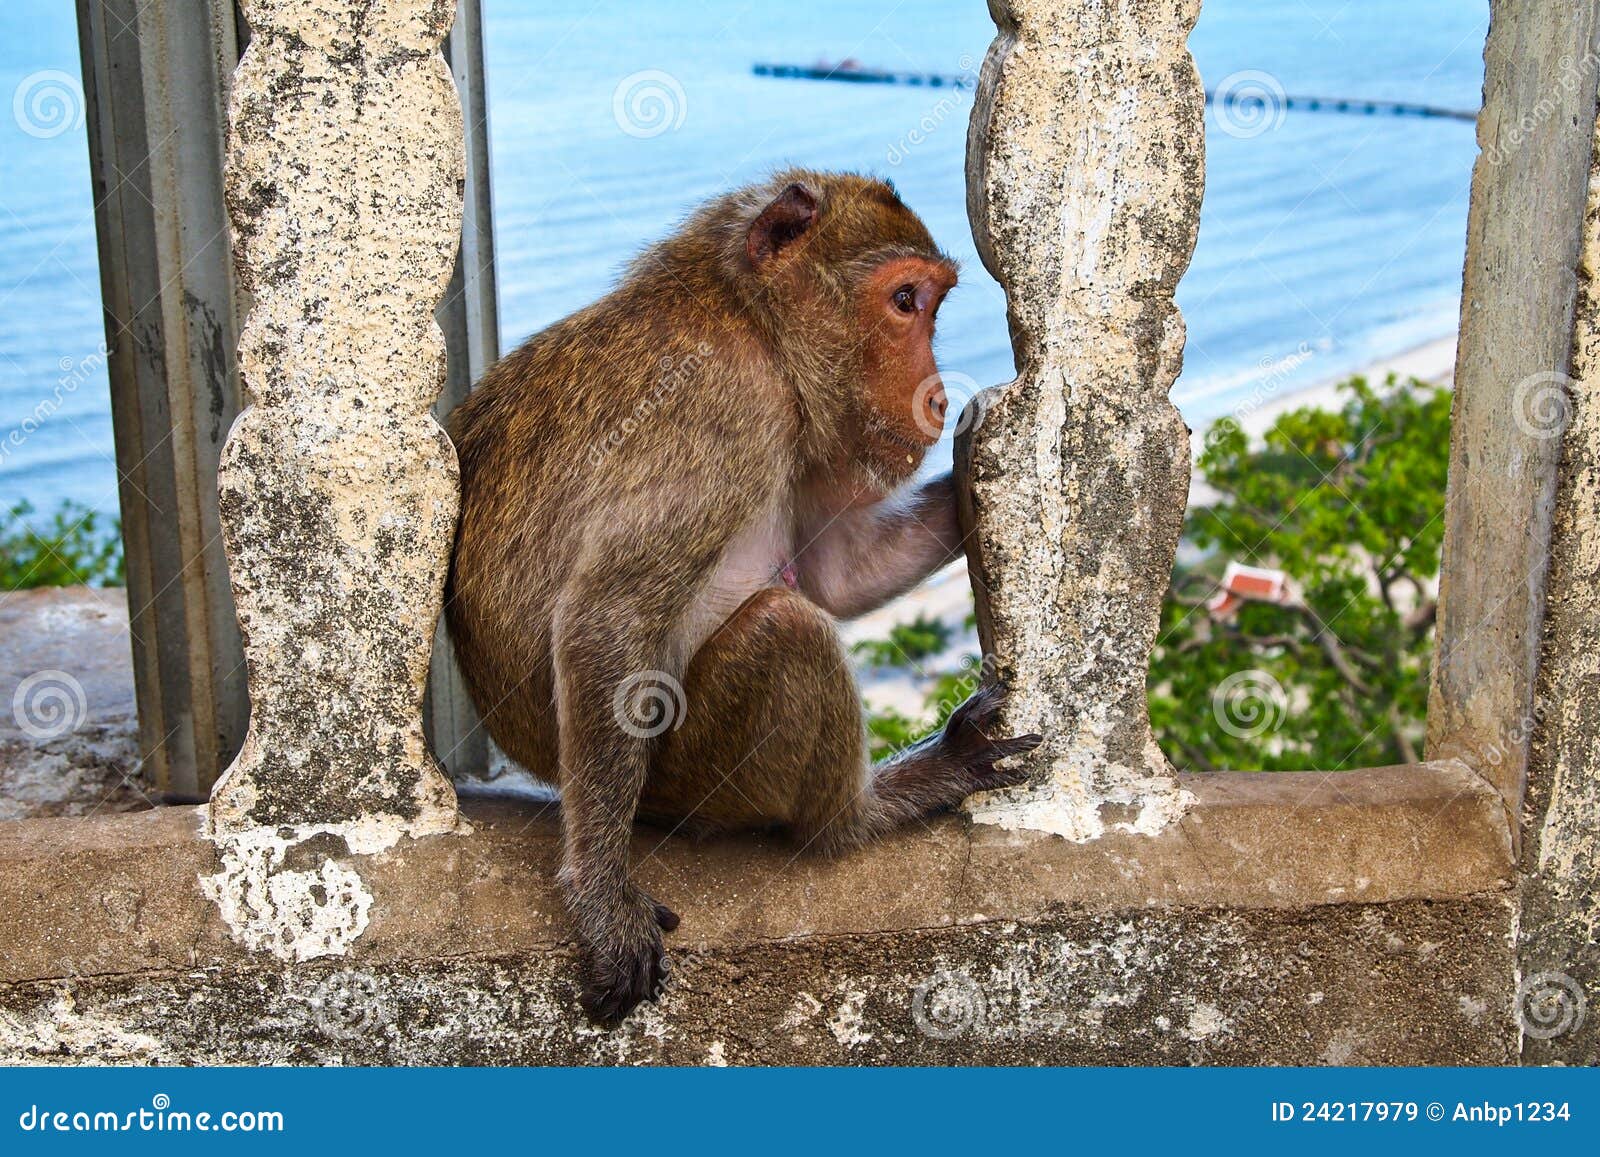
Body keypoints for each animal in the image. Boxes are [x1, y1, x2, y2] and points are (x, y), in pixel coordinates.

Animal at [446, 170, 1042, 1025]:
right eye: (904, 302)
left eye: (931, 304)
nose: (933, 397)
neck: (753, 324)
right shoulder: (722, 405)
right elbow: (608, 618)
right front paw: (603, 903)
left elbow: (838, 573)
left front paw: (976, 459)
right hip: (688, 777)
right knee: (784, 628)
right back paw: (869, 810)